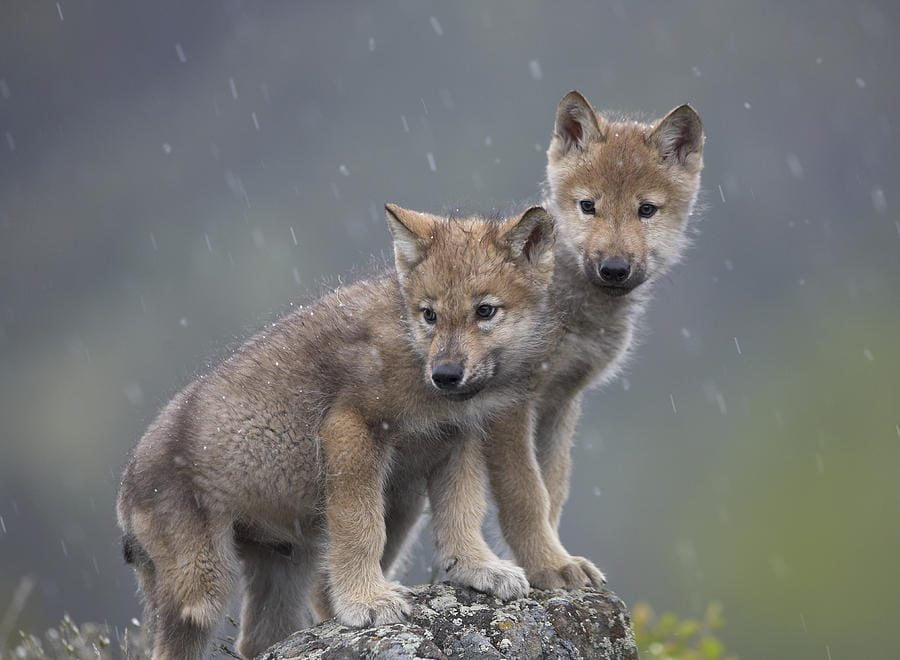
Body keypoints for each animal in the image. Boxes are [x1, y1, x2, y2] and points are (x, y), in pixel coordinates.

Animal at [116, 204, 556, 659]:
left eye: (485, 311)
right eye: (429, 314)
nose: (446, 375)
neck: (412, 353)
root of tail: (126, 488)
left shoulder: (456, 443)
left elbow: (462, 515)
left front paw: (479, 569)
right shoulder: (351, 428)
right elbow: (361, 528)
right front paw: (368, 601)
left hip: (286, 566)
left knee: (259, 638)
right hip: (201, 593)